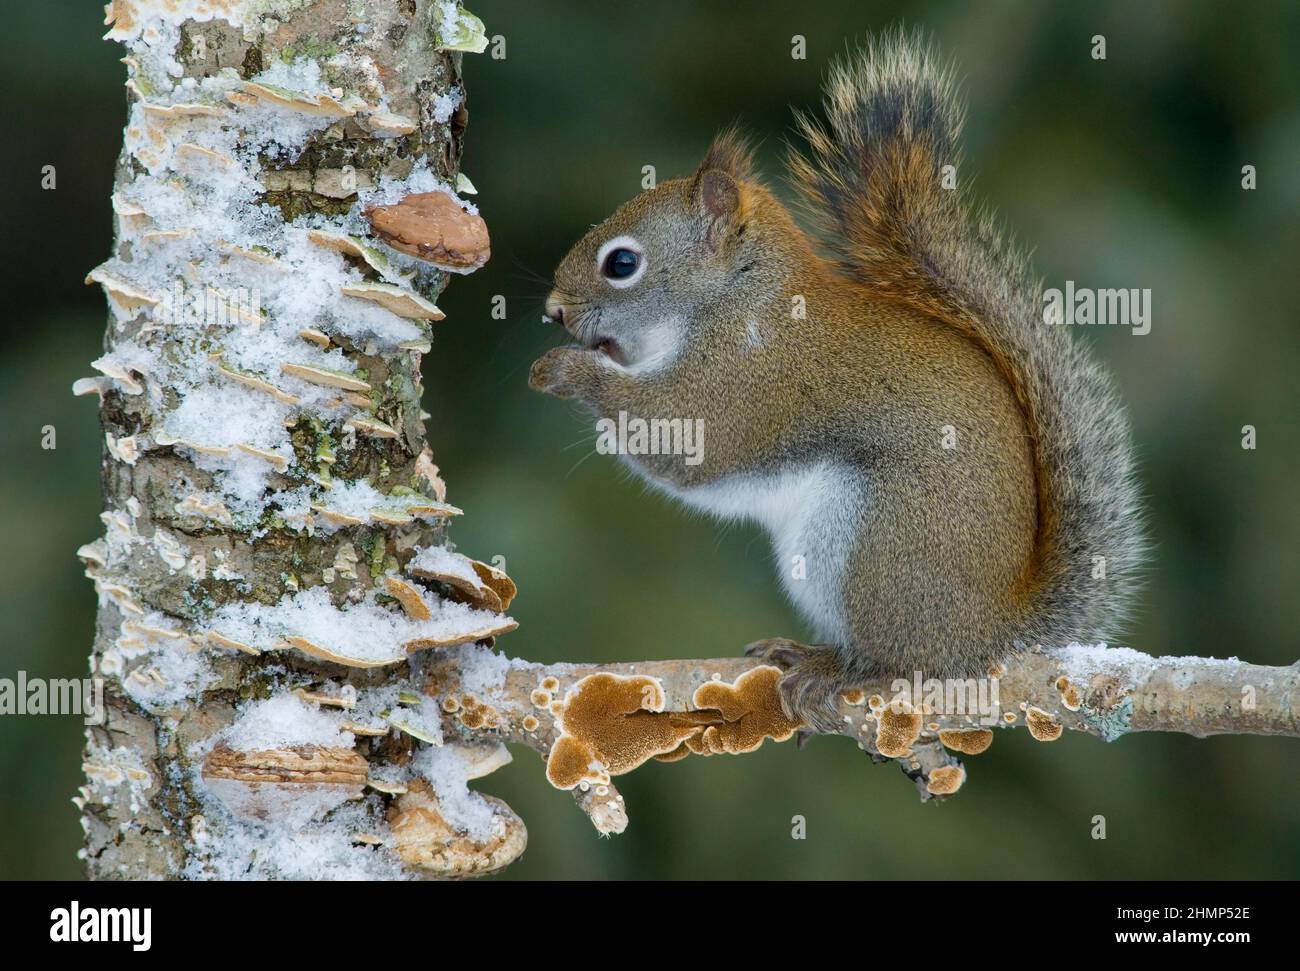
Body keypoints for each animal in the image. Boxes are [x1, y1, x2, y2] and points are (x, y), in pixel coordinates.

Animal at [529, 31, 1145, 733]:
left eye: (622, 264)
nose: (553, 311)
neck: (736, 299)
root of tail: (990, 632)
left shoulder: (745, 380)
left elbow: (683, 439)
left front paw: (566, 370)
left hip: (872, 544)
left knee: (903, 661)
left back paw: (840, 668)